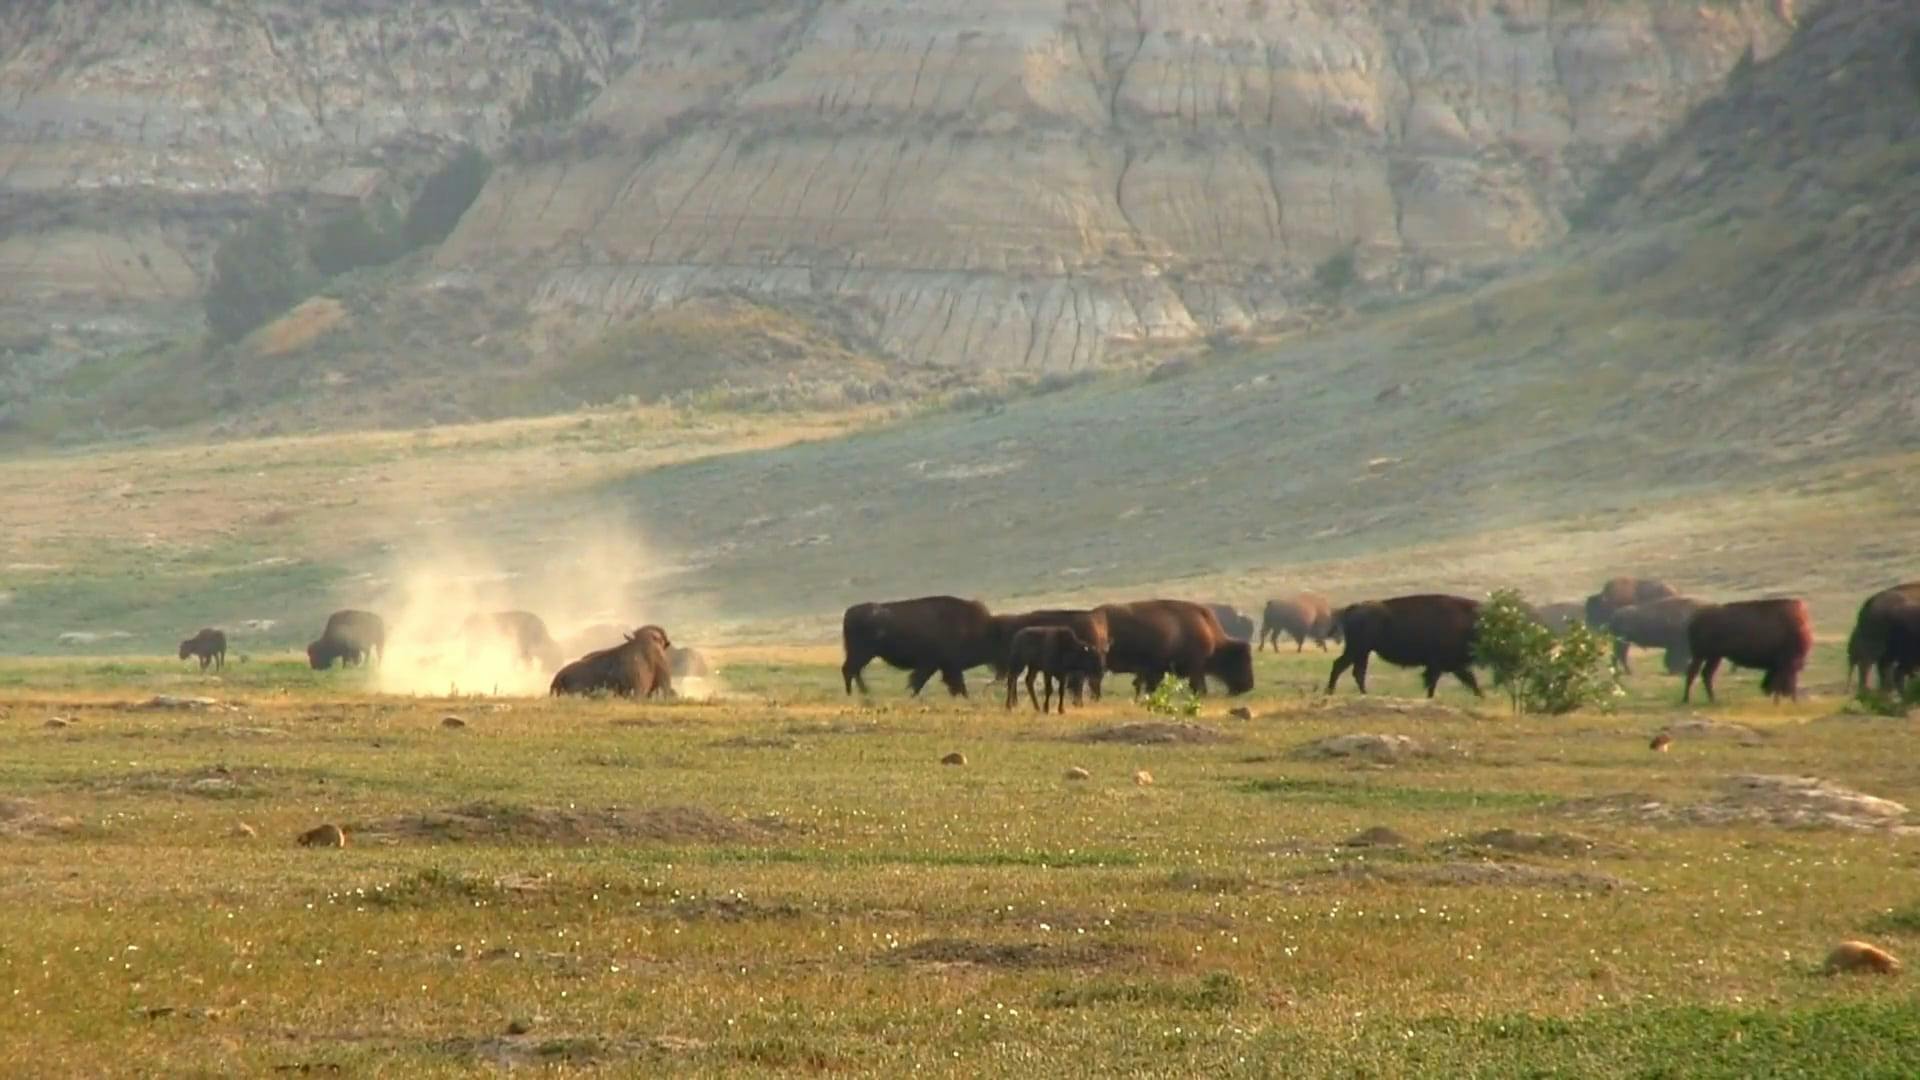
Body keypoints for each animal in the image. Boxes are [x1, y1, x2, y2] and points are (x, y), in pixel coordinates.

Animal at [841, 596, 997, 697]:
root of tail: (849, 613)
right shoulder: (940, 664)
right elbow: (921, 681)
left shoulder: (938, 665)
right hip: (862, 653)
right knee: (849, 670)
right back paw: (859, 694)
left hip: (862, 654)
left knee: (853, 670)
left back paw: (862, 693)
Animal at [1327, 594, 1482, 698]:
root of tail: (1353, 608)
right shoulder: (1438, 664)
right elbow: (1433, 682)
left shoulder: (1454, 665)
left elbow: (1471, 680)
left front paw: (1481, 696)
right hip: (1357, 649)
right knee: (1341, 665)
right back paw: (1331, 692)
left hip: (1363, 652)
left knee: (1357, 671)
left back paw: (1364, 693)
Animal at [1683, 598, 1813, 703]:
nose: (1765, 690)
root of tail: (1694, 621)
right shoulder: (1788, 662)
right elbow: (1786, 682)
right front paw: (1785, 702)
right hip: (1702, 655)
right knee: (1694, 673)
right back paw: (1688, 699)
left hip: (1714, 657)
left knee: (1706, 674)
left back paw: (1712, 700)